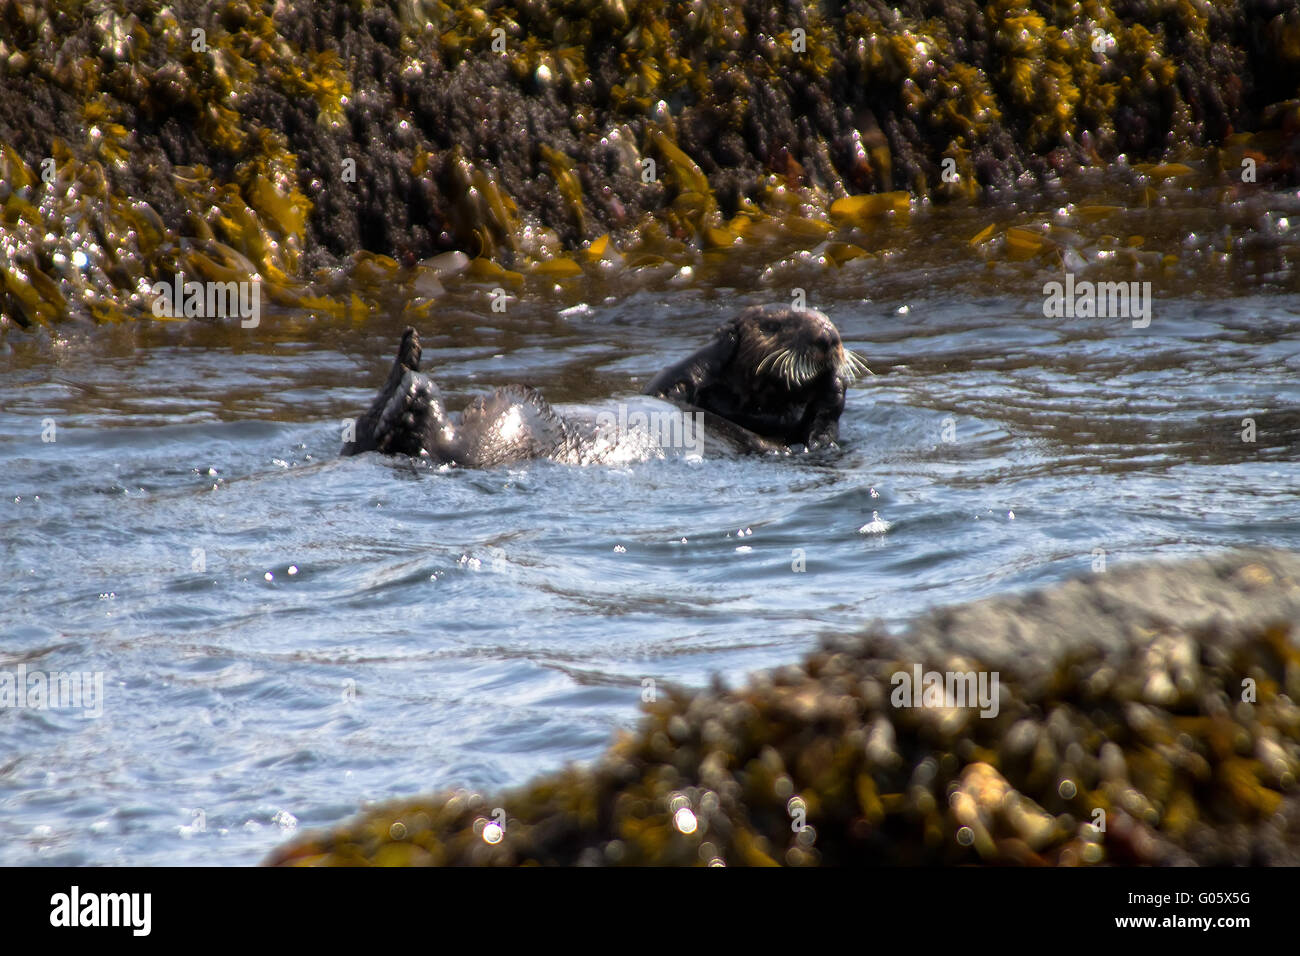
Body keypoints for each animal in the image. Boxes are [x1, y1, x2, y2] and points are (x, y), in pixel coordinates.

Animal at [341, 305, 864, 465]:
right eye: (775, 324)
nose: (830, 338)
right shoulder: (674, 385)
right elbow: (678, 378)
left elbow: (818, 433)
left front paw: (834, 385)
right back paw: (407, 362)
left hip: (513, 417)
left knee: (439, 441)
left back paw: (408, 382)